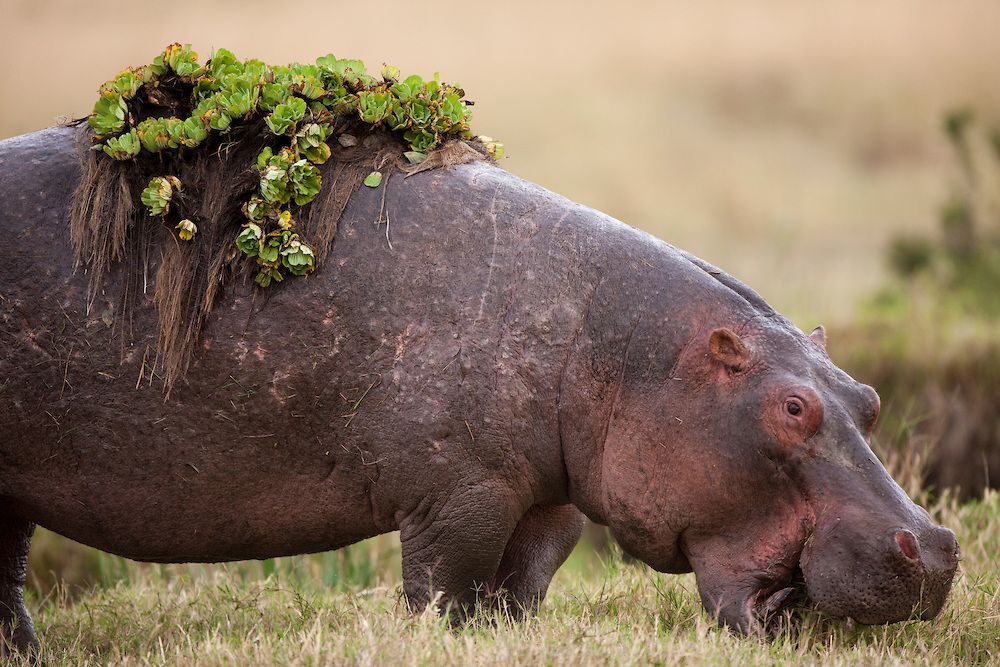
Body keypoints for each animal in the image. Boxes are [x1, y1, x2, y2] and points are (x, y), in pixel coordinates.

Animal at [0, 125, 959, 653]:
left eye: (868, 397)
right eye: (791, 408)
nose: (938, 547)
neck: (612, 338)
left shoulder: (547, 497)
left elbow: (524, 580)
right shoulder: (460, 492)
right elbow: (443, 582)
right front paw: (439, 637)